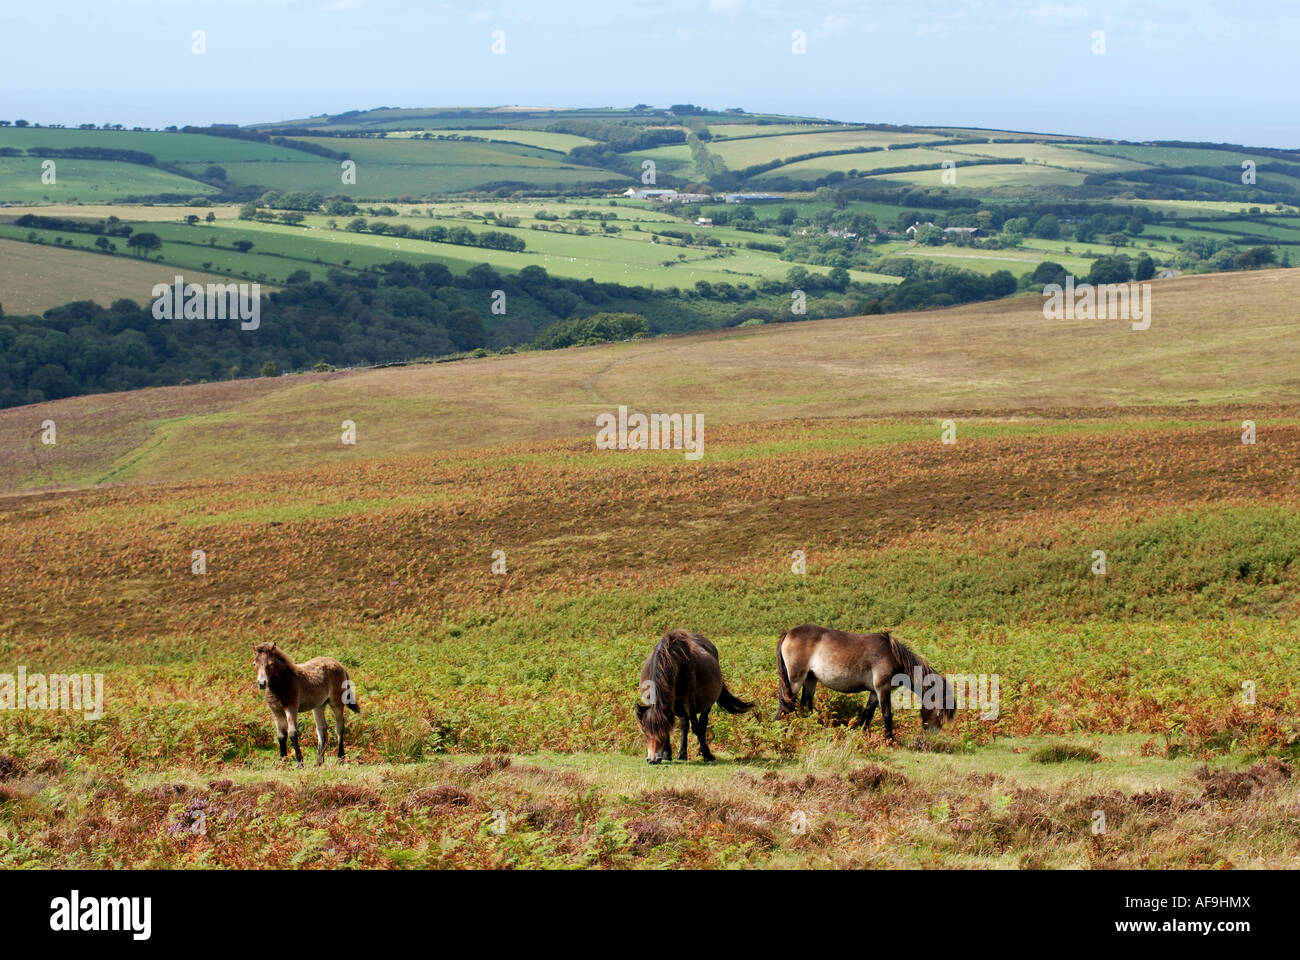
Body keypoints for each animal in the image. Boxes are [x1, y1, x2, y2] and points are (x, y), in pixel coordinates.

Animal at [636, 629, 753, 764]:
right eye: (645, 731)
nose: (652, 759)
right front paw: (667, 754)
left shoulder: (689, 701)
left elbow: (696, 727)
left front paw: (707, 755)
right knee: (684, 726)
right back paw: (682, 754)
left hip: (705, 704)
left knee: (702, 725)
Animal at [776, 624, 954, 739]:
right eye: (940, 712)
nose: (933, 736)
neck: (893, 656)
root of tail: (789, 633)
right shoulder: (883, 689)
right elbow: (887, 715)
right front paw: (890, 741)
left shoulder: (874, 692)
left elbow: (867, 714)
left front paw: (861, 736)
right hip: (795, 681)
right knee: (786, 706)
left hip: (810, 679)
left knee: (805, 706)